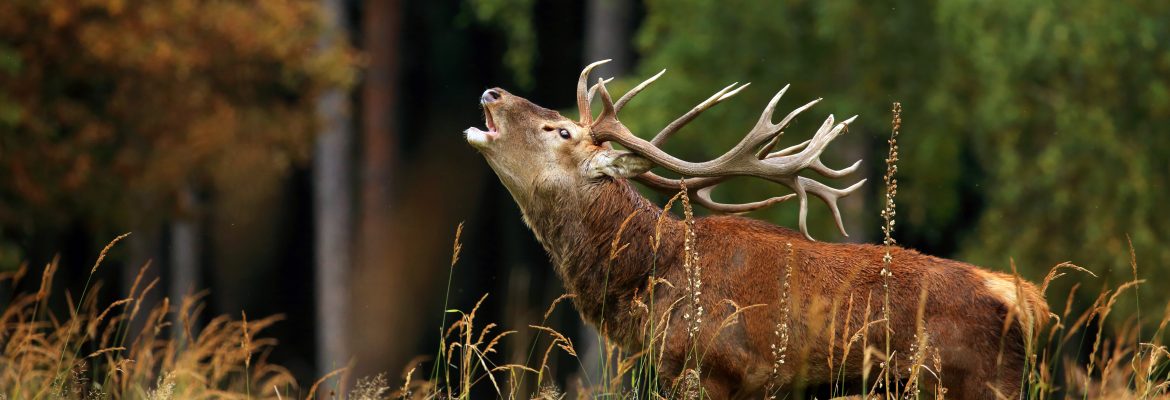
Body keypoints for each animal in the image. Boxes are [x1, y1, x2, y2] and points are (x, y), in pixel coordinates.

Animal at [464, 60, 1049, 400]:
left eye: (560, 130)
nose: (491, 92)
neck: (646, 281)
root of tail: (1025, 300)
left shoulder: (713, 369)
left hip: (975, 380)